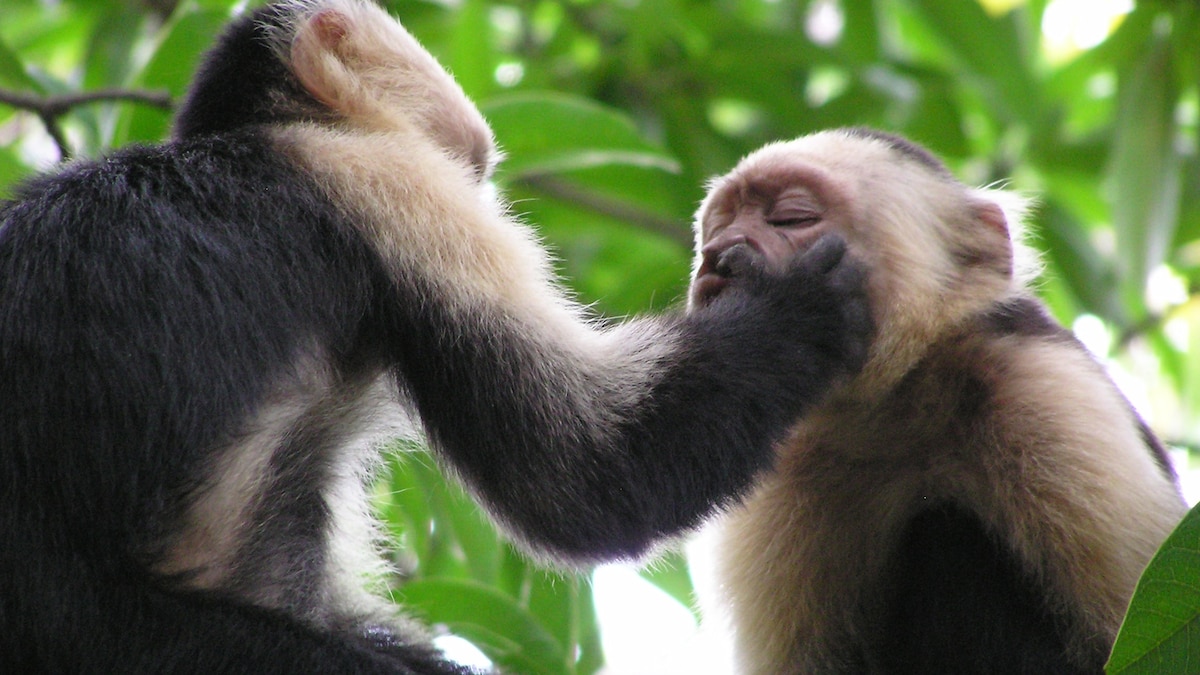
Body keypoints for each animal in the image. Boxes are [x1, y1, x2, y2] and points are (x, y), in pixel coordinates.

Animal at [687, 127, 1188, 674]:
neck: (898, 410)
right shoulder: (783, 472)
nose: (719, 254)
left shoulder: (1047, 391)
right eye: (718, 228)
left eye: (792, 217)